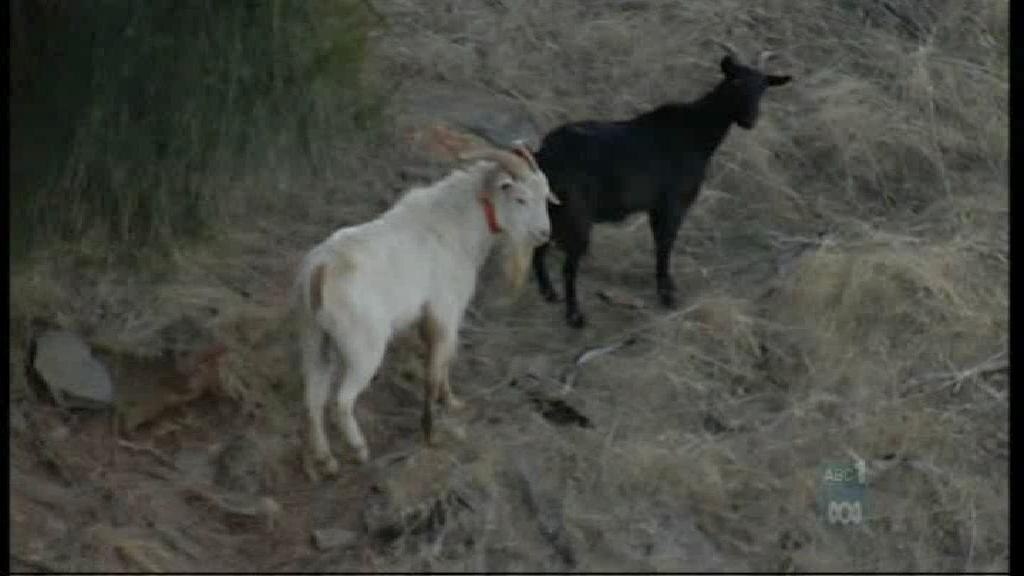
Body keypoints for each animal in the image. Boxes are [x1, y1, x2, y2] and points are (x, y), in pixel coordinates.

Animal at [294, 126, 559, 478]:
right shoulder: (445, 311)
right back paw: (359, 450)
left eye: (545, 196)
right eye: (520, 198)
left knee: (313, 397)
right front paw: (431, 431)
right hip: (363, 347)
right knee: (341, 400)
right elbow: (437, 365)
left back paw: (326, 460)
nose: (544, 234)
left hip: (314, 340)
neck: (456, 225)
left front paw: (453, 403)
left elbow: (442, 359)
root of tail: (320, 270)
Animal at [532, 46, 792, 327]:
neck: (696, 133)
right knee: (568, 265)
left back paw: (549, 293)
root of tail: (544, 155)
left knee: (539, 245)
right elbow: (665, 246)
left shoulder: (657, 207)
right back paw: (575, 316)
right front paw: (667, 296)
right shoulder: (673, 203)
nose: (749, 120)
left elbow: (661, 244)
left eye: (763, 88)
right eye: (735, 81)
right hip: (576, 214)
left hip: (551, 209)